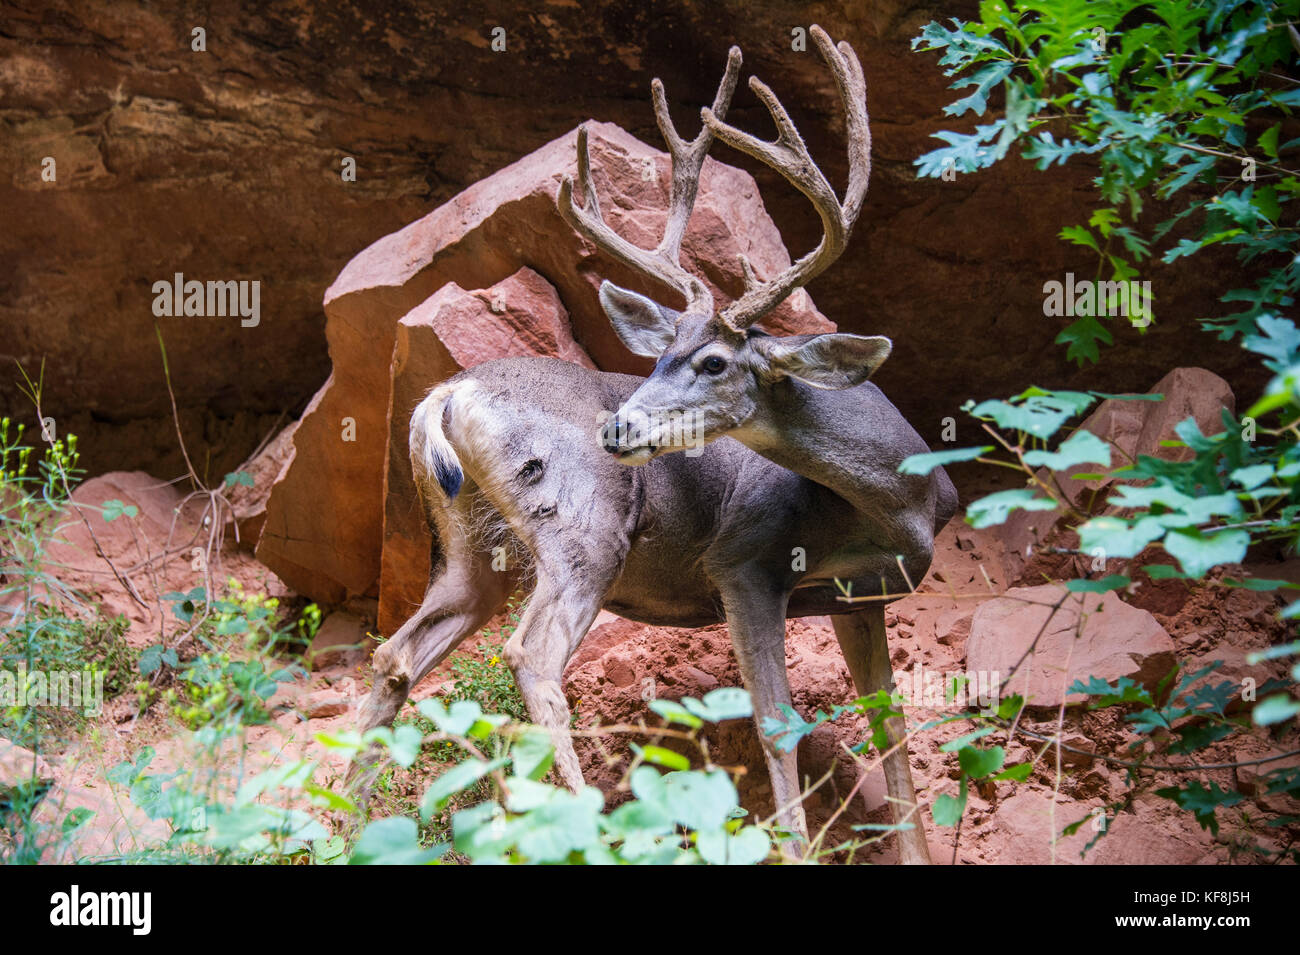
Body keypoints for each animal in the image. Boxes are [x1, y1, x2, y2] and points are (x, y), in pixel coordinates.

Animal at [355, 25, 958, 864]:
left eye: (711, 361)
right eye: (662, 352)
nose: (619, 425)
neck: (895, 504)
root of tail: (444, 396)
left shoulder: (862, 595)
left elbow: (891, 729)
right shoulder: (745, 559)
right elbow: (778, 722)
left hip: (471, 549)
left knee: (396, 655)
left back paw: (338, 826)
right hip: (584, 527)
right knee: (532, 658)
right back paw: (582, 832)